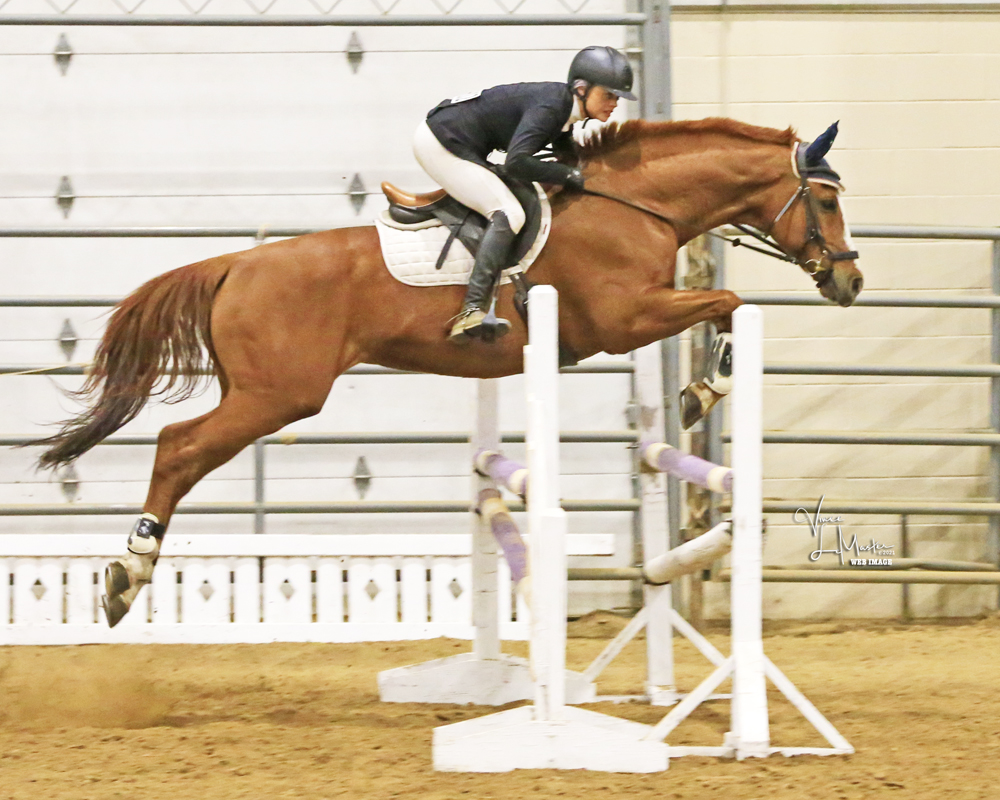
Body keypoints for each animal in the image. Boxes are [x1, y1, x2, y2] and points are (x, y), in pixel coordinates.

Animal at [31, 116, 863, 626]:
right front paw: (705, 386)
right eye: (824, 198)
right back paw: (127, 576)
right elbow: (727, 298)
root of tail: (236, 263)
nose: (851, 282)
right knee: (179, 447)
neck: (636, 204)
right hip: (279, 396)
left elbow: (722, 304)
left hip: (258, 390)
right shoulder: (623, 319)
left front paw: (696, 390)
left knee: (183, 445)